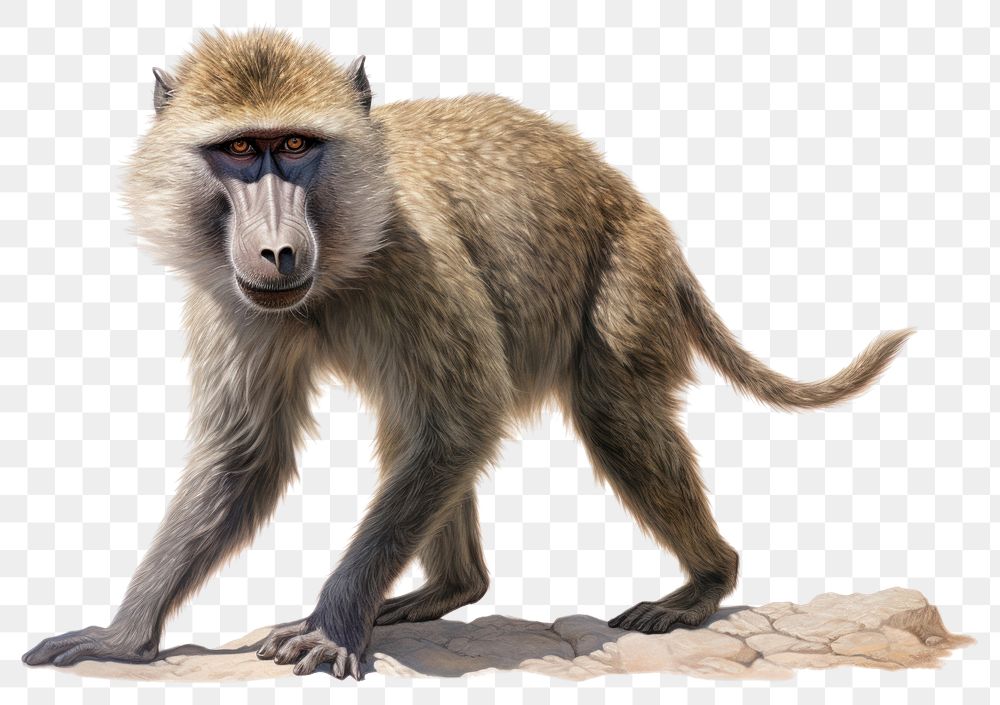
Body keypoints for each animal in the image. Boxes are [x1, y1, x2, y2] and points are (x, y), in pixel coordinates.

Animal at [22, 29, 913, 681]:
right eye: (240, 151)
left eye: (297, 145)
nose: (276, 249)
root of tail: (633, 202)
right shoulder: (233, 300)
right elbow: (249, 455)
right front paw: (124, 635)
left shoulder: (419, 262)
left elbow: (461, 421)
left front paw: (329, 626)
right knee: (416, 430)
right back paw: (450, 588)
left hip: (630, 274)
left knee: (607, 413)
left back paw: (706, 582)